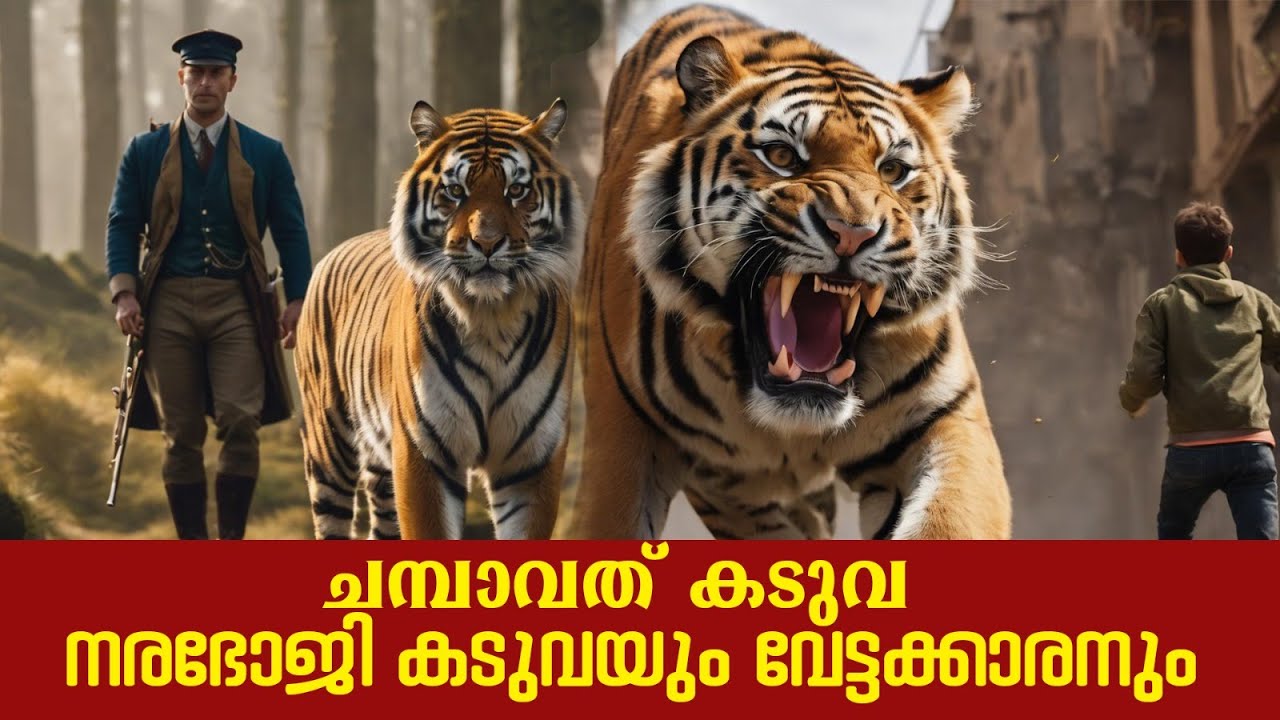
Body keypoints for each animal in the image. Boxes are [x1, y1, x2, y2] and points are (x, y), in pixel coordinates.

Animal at [295, 99, 583, 539]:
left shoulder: (531, 462)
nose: (486, 243)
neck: (491, 319)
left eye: (516, 190)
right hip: (329, 446)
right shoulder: (424, 455)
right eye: (455, 191)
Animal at [568, 5, 1011, 540]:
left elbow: (950, 521)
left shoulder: (948, 419)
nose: (853, 232)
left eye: (893, 171)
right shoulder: (627, 436)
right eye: (782, 157)